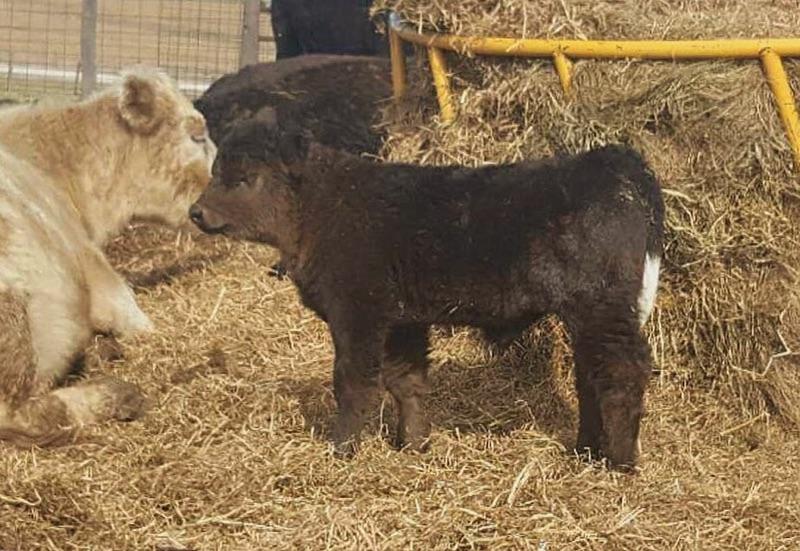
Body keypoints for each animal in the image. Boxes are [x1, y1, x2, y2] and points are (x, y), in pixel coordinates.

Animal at [189, 120, 665, 470]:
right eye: (215, 171)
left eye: (246, 178)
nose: (196, 212)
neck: (324, 208)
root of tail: (611, 160)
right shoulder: (403, 320)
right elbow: (407, 381)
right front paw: (413, 445)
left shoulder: (357, 313)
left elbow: (352, 383)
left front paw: (342, 450)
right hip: (590, 314)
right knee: (591, 375)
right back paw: (586, 451)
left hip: (602, 307)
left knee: (621, 374)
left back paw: (620, 462)